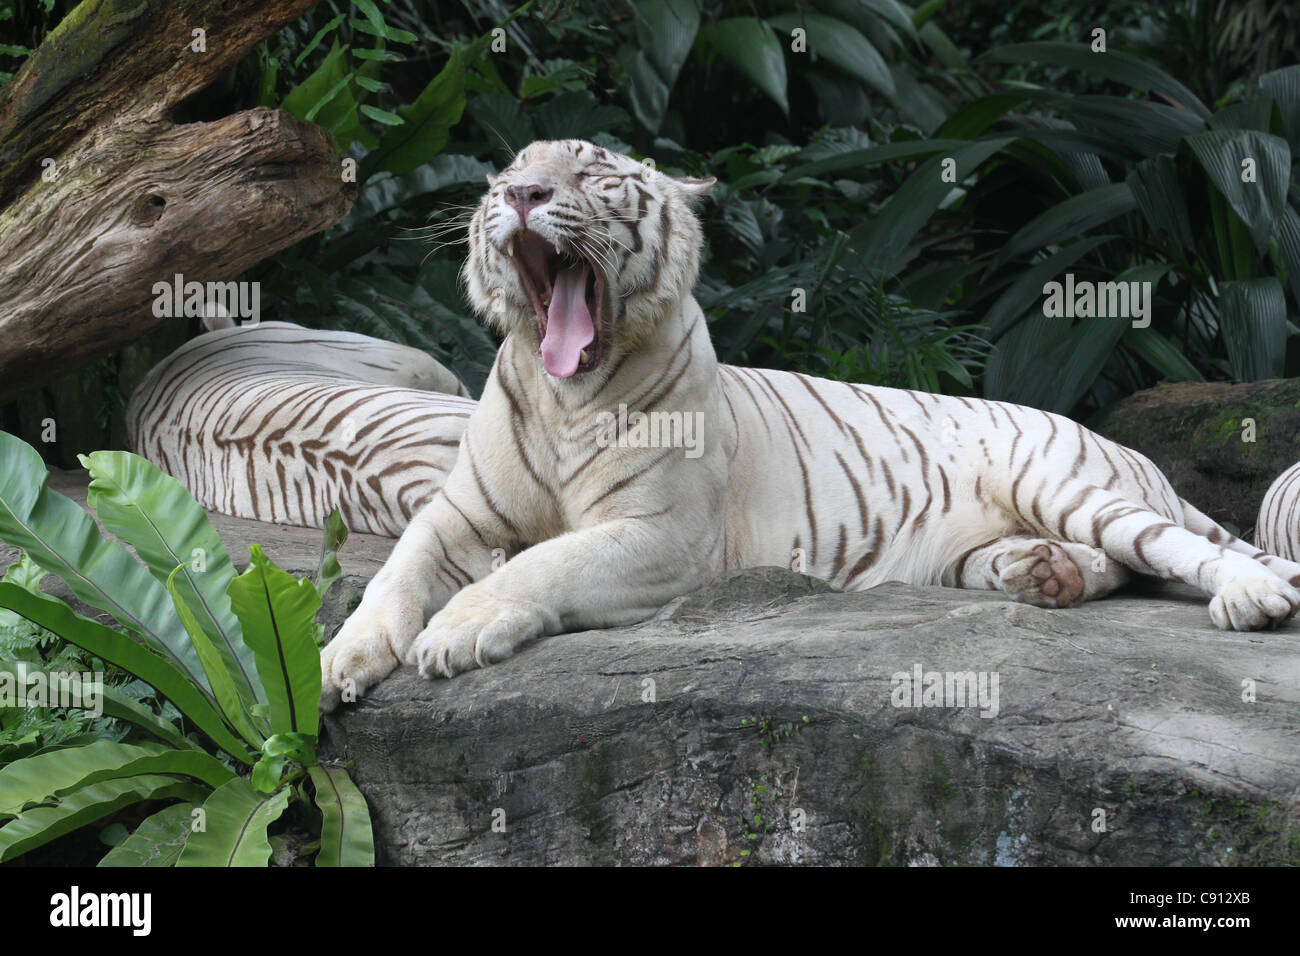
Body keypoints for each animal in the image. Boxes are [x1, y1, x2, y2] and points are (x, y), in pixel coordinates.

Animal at [316, 138, 1300, 709]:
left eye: (589, 176)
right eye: (506, 176)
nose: (520, 194)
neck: (567, 395)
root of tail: (1129, 449)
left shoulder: (659, 535)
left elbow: (541, 564)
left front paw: (454, 632)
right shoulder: (458, 514)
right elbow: (394, 574)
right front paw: (341, 660)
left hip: (1064, 482)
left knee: (1177, 550)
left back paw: (1250, 599)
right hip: (976, 547)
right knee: (1111, 567)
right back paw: (1047, 576)